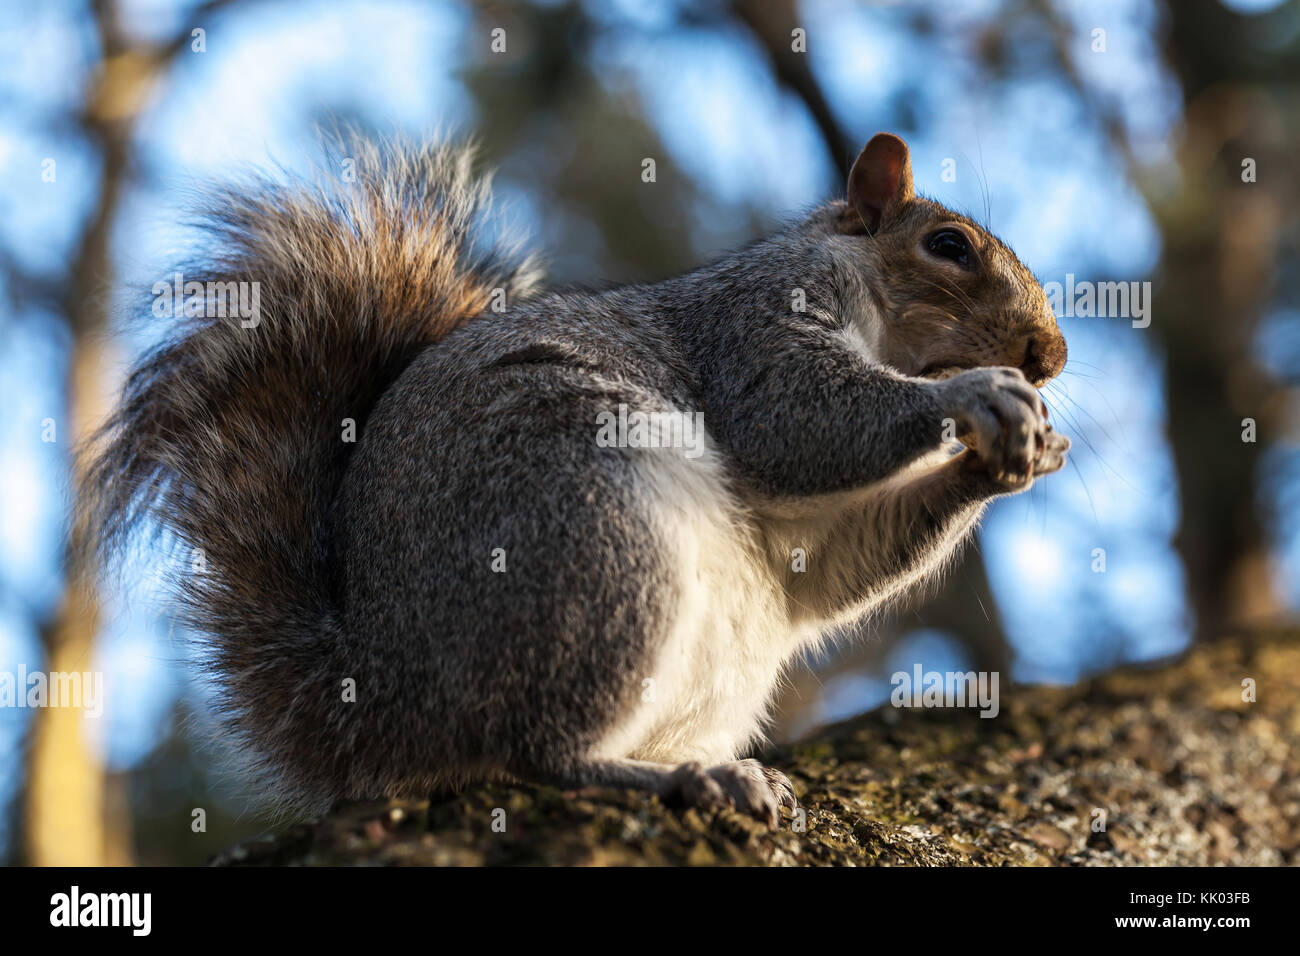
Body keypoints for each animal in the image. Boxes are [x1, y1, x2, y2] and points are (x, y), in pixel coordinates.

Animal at [85, 132, 1068, 828]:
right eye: (949, 245)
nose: (1049, 357)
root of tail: (385, 699)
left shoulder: (805, 532)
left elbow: (829, 566)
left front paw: (1016, 458)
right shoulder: (758, 324)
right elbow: (797, 417)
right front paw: (976, 395)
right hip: (597, 543)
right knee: (537, 753)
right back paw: (680, 781)